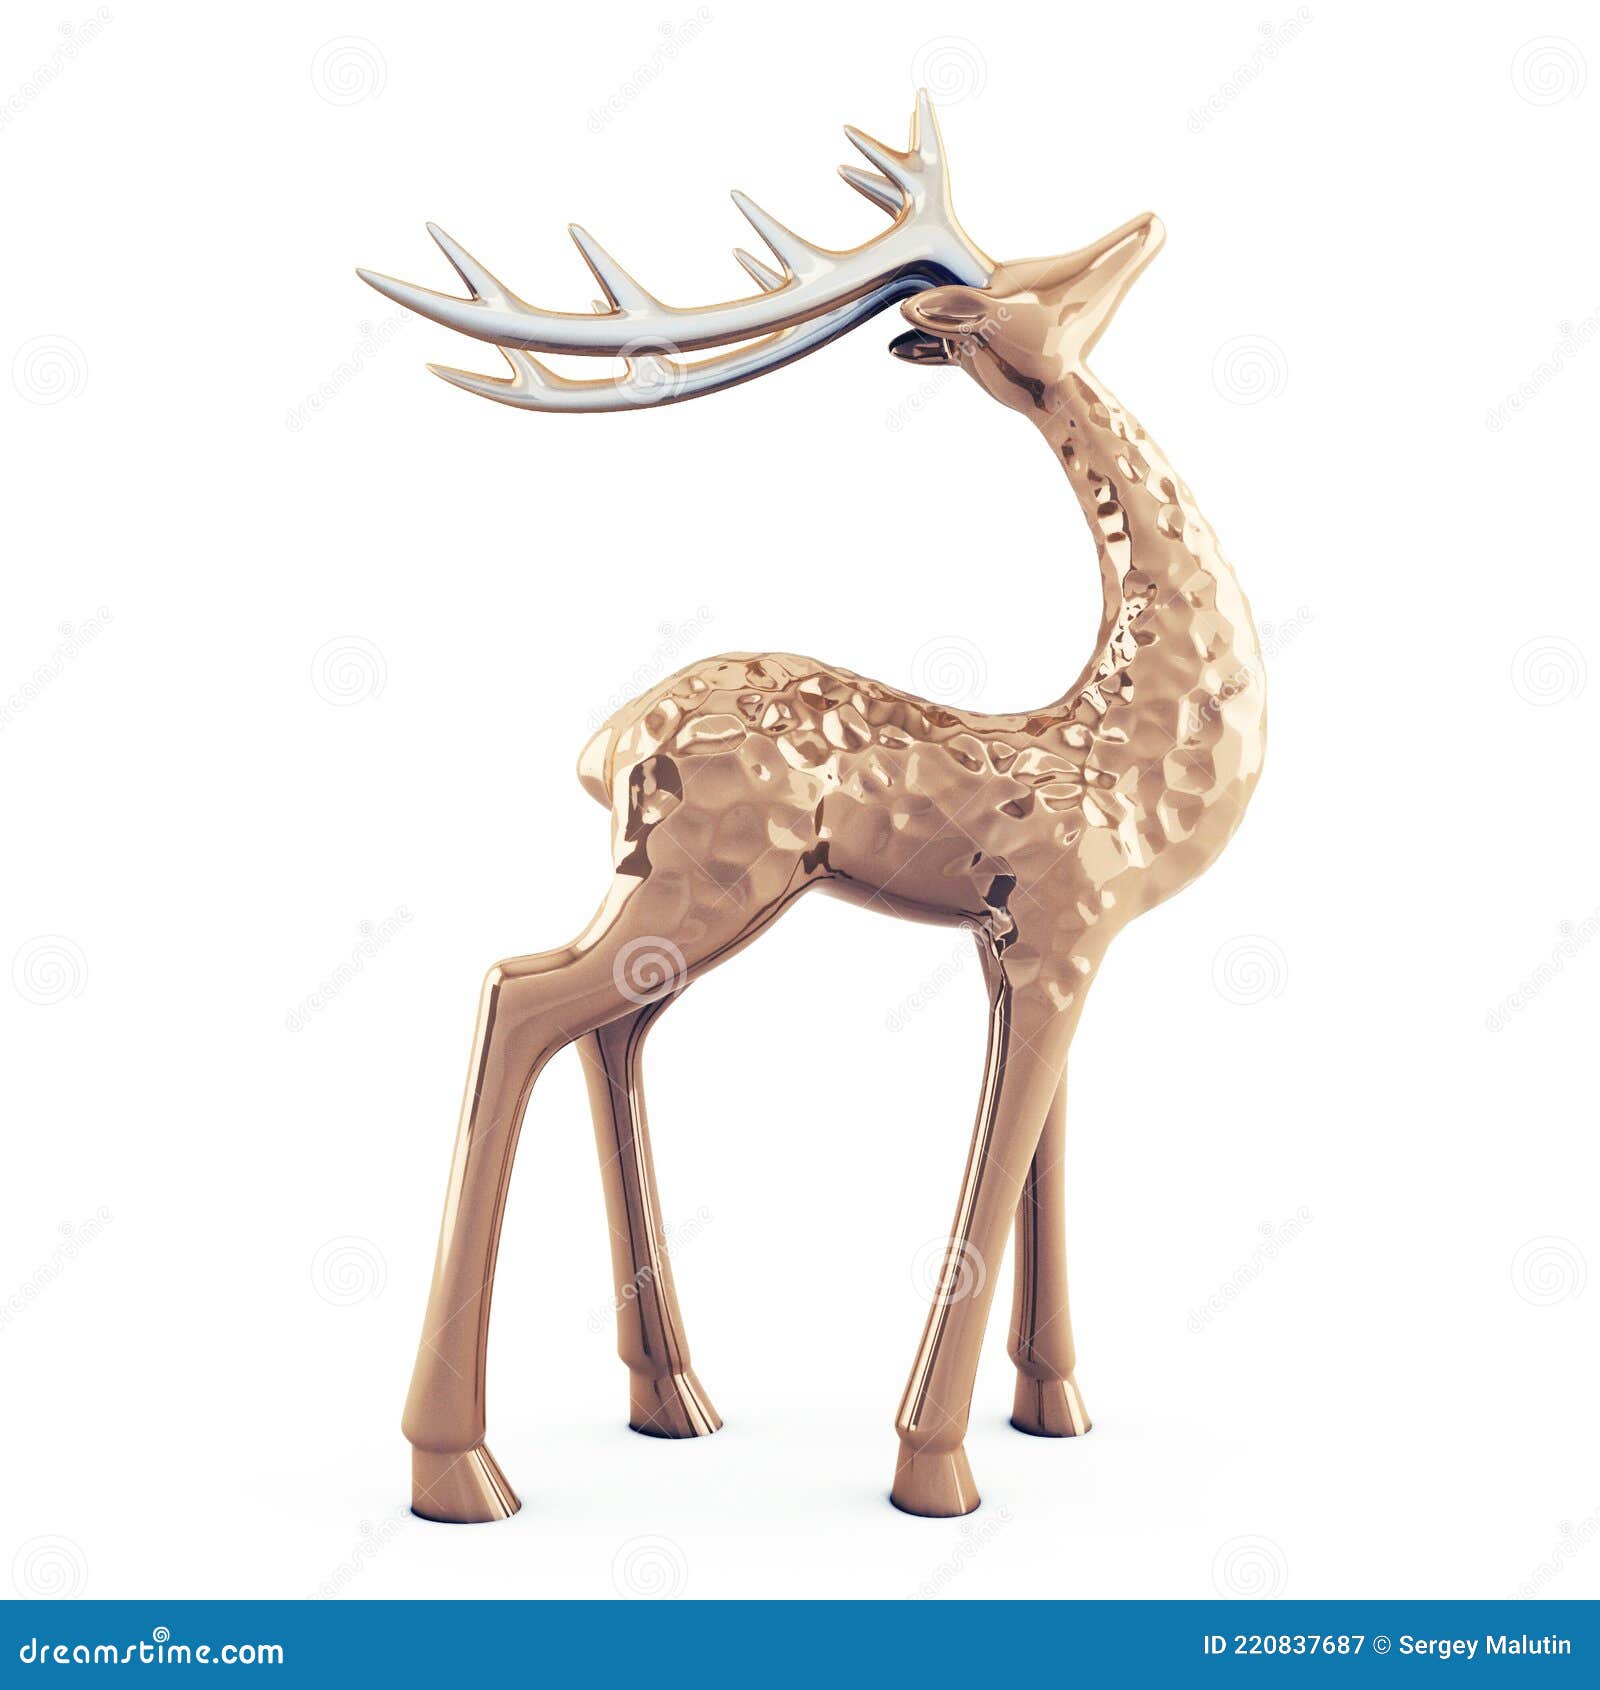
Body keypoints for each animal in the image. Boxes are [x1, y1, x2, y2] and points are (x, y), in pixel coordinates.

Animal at [359, 91, 1267, 1523]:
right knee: (518, 995)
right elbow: (1000, 1158)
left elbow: (1045, 1155)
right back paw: (460, 1469)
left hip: (665, 887)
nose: (1141, 228)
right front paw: (933, 1467)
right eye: (1029, 287)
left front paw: (1052, 1407)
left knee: (603, 1027)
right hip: (709, 880)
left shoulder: (1042, 944)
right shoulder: (1059, 930)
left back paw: (671, 1399)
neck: (1127, 731)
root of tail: (607, 745)